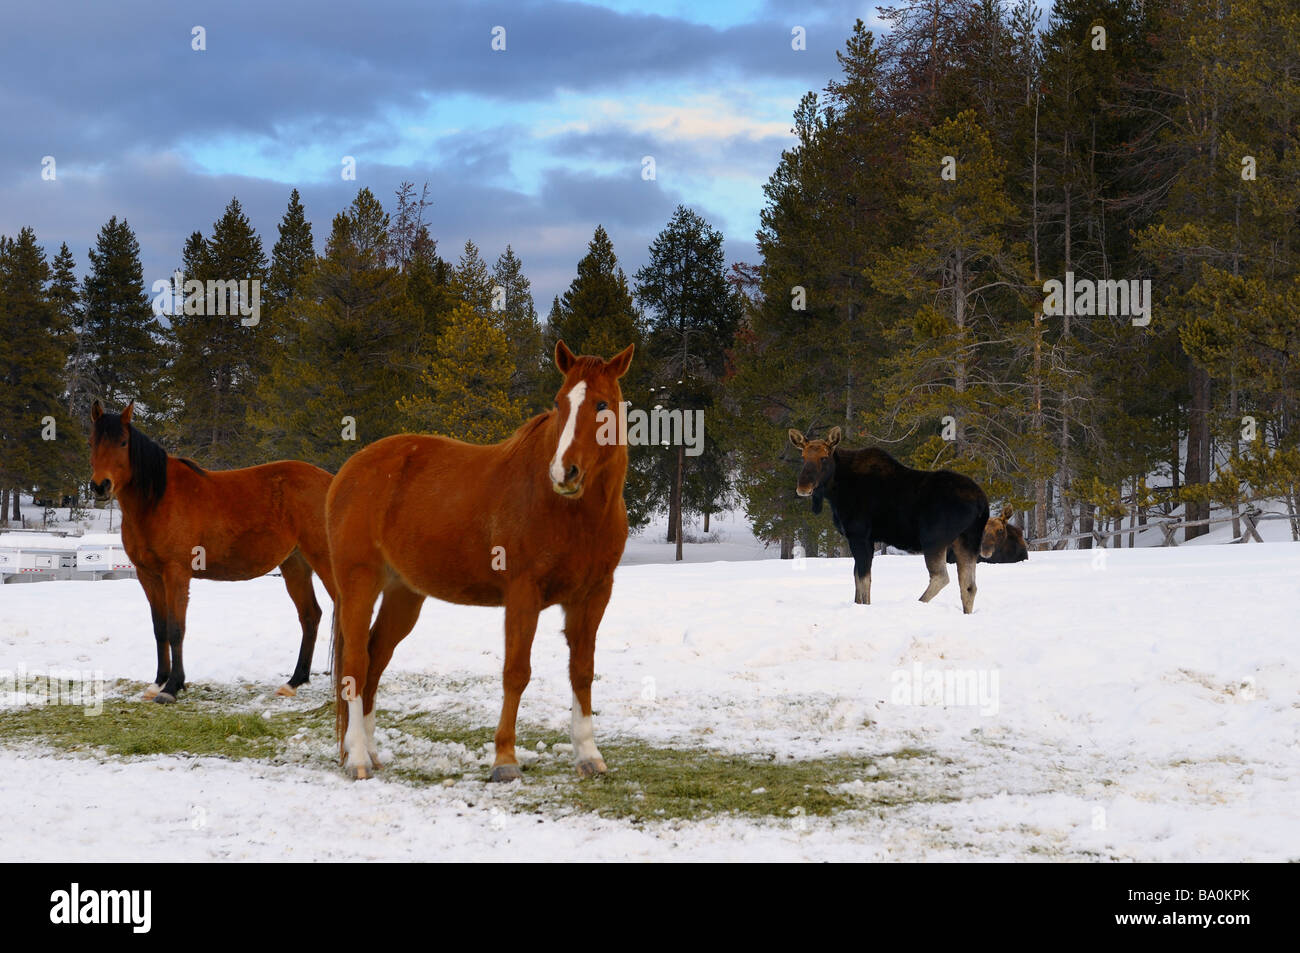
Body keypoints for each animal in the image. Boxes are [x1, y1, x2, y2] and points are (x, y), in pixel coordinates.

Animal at [88, 401, 337, 701]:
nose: (100, 486)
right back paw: (294, 681)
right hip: (295, 565)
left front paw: (172, 686)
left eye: (123, 442)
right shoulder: (148, 576)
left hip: (325, 562)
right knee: (310, 616)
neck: (157, 501)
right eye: (92, 442)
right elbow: (160, 629)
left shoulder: (176, 574)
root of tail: (332, 481)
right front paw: (159, 682)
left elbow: (176, 628)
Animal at [328, 341, 634, 781]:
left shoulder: (593, 595)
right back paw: (355, 759)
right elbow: (516, 672)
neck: (569, 511)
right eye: (559, 403)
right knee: (356, 663)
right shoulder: (523, 594)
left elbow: (582, 671)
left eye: (602, 404)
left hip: (403, 595)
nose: (565, 472)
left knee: (375, 661)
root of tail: (350, 470)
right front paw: (505, 759)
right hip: (359, 583)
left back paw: (369, 752)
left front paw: (588, 754)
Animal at [788, 427, 992, 613]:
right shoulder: (867, 539)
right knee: (968, 586)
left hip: (934, 539)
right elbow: (858, 577)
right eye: (803, 457)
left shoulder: (858, 535)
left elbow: (863, 579)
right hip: (968, 540)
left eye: (824, 457)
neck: (834, 491)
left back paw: (918, 603)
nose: (803, 487)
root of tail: (982, 502)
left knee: (941, 577)